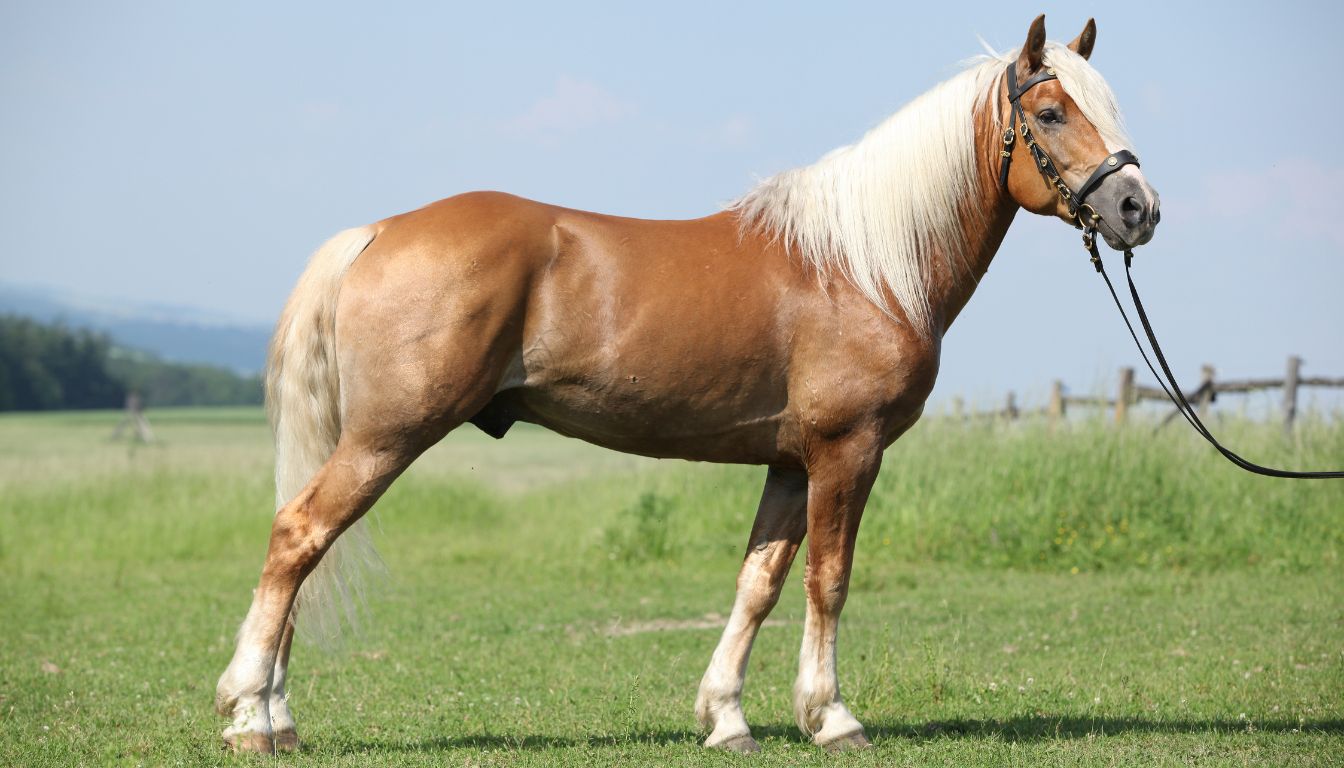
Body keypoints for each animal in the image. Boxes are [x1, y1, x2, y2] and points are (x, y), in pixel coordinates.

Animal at [216, 15, 1159, 754]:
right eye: (1049, 111)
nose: (1137, 210)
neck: (864, 264)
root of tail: (376, 231)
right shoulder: (846, 451)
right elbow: (829, 578)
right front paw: (833, 717)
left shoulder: (789, 461)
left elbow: (759, 583)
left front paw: (727, 717)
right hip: (389, 435)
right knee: (299, 535)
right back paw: (250, 715)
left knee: (305, 546)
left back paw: (275, 715)